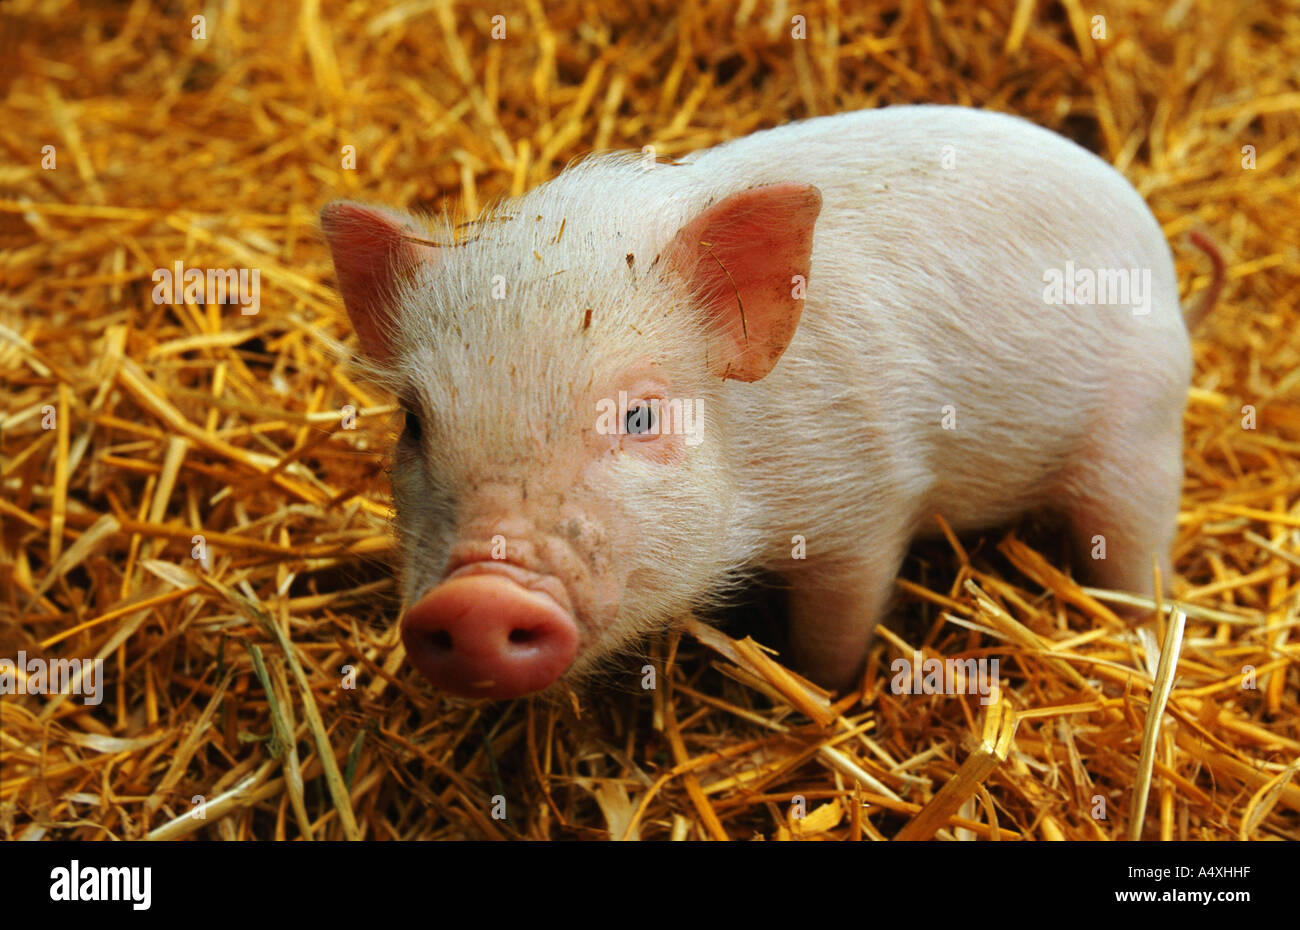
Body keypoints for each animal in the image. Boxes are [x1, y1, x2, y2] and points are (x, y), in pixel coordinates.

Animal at [321, 105, 1223, 700]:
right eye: (414, 423)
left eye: (641, 415)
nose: (476, 597)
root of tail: (1169, 282)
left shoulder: (868, 494)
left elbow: (841, 620)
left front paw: (822, 692)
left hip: (1138, 431)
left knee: (1135, 544)